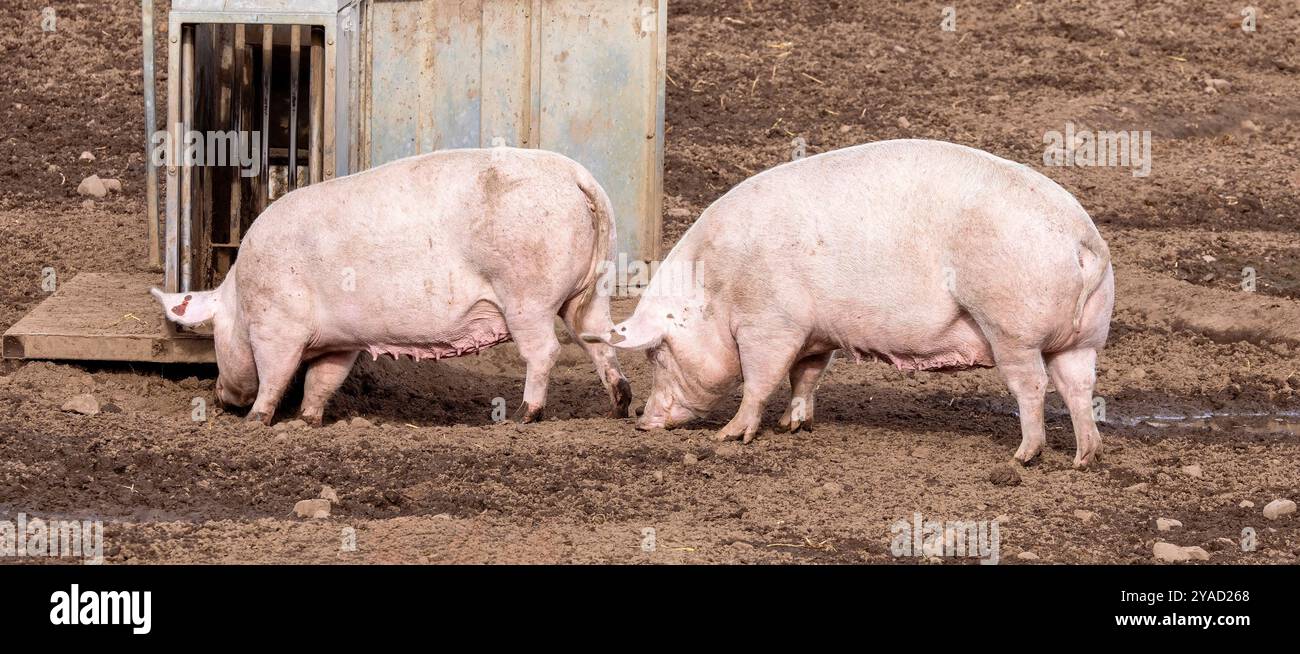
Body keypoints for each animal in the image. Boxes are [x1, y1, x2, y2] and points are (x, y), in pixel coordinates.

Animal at [152, 147, 632, 426]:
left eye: (215, 334)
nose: (219, 397)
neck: (241, 296)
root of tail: (579, 179)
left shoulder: (278, 323)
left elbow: (276, 372)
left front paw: (256, 421)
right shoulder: (340, 342)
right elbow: (323, 380)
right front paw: (309, 421)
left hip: (527, 294)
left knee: (545, 351)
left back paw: (523, 416)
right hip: (592, 288)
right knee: (599, 338)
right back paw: (619, 405)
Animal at [584, 139, 1113, 468]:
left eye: (658, 353)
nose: (643, 422)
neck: (717, 286)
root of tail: (1084, 242)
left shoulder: (771, 323)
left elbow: (760, 379)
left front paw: (731, 435)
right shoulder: (817, 333)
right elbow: (806, 376)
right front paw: (794, 426)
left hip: (1012, 328)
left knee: (1033, 386)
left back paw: (1023, 457)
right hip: (1084, 339)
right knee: (1079, 389)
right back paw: (1084, 457)